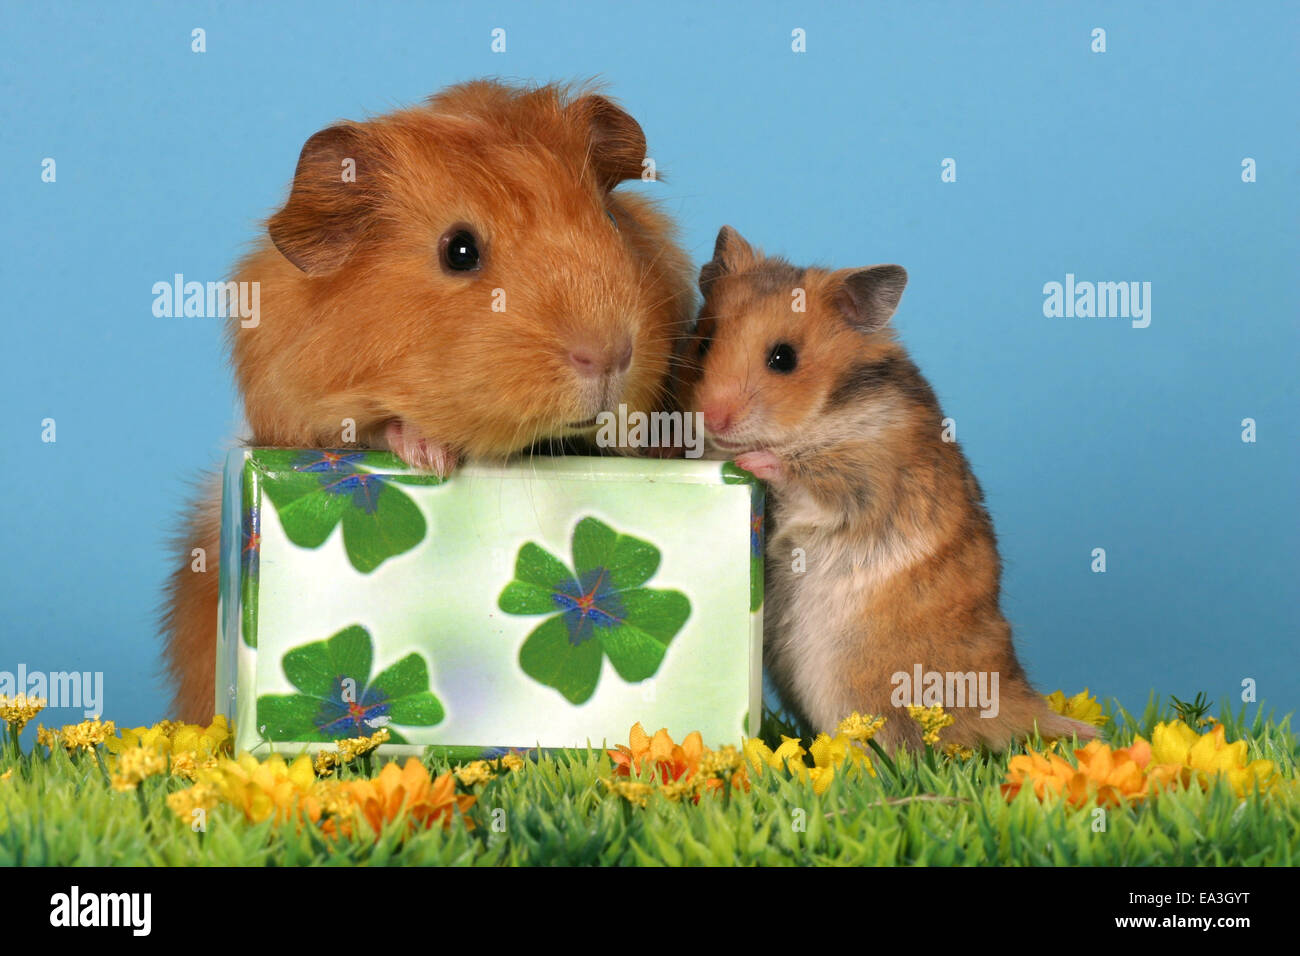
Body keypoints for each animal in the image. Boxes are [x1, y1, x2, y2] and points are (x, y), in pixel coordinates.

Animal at [676, 226, 1096, 752]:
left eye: (783, 358)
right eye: (703, 342)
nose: (712, 420)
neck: (824, 410)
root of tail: (1013, 701)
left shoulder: (863, 479)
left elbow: (807, 481)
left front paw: (752, 460)